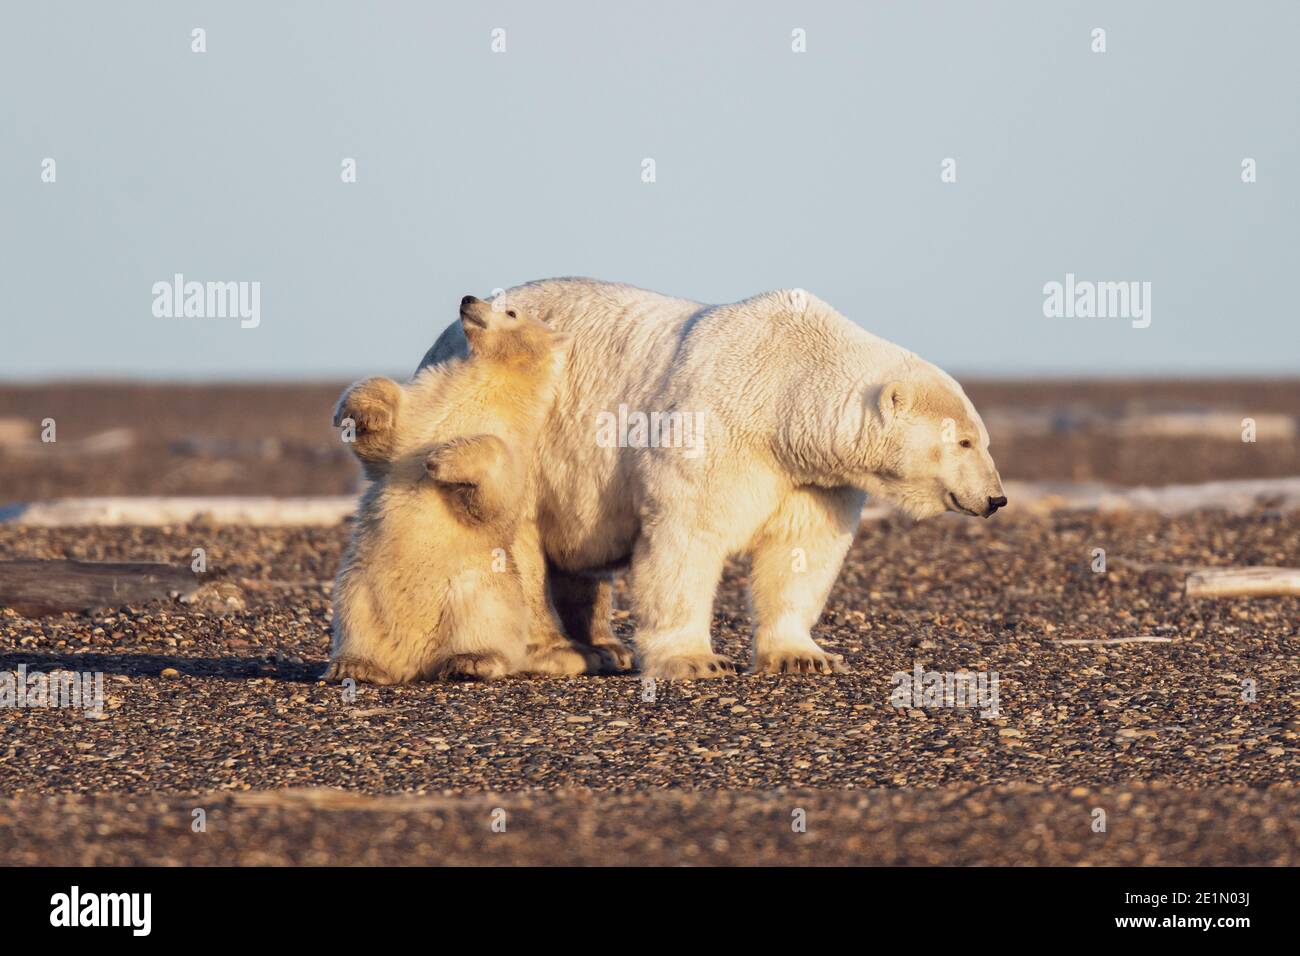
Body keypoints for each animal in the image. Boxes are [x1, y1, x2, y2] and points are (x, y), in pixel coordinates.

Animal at [324, 295, 589, 683]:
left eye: (511, 312)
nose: (468, 299)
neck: (490, 384)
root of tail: (415, 659)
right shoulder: (430, 404)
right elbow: (388, 438)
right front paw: (364, 413)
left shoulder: (520, 444)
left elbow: (496, 489)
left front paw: (443, 458)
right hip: (359, 583)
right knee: (356, 616)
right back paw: (357, 665)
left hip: (477, 587)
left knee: (481, 619)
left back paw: (470, 660)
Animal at [410, 279, 1007, 679]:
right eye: (964, 441)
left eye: (982, 438)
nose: (997, 497)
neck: (784, 394)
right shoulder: (714, 427)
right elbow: (687, 538)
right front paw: (696, 660)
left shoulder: (811, 481)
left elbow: (801, 551)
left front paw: (803, 656)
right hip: (507, 433)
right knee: (514, 544)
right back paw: (555, 652)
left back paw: (606, 645)